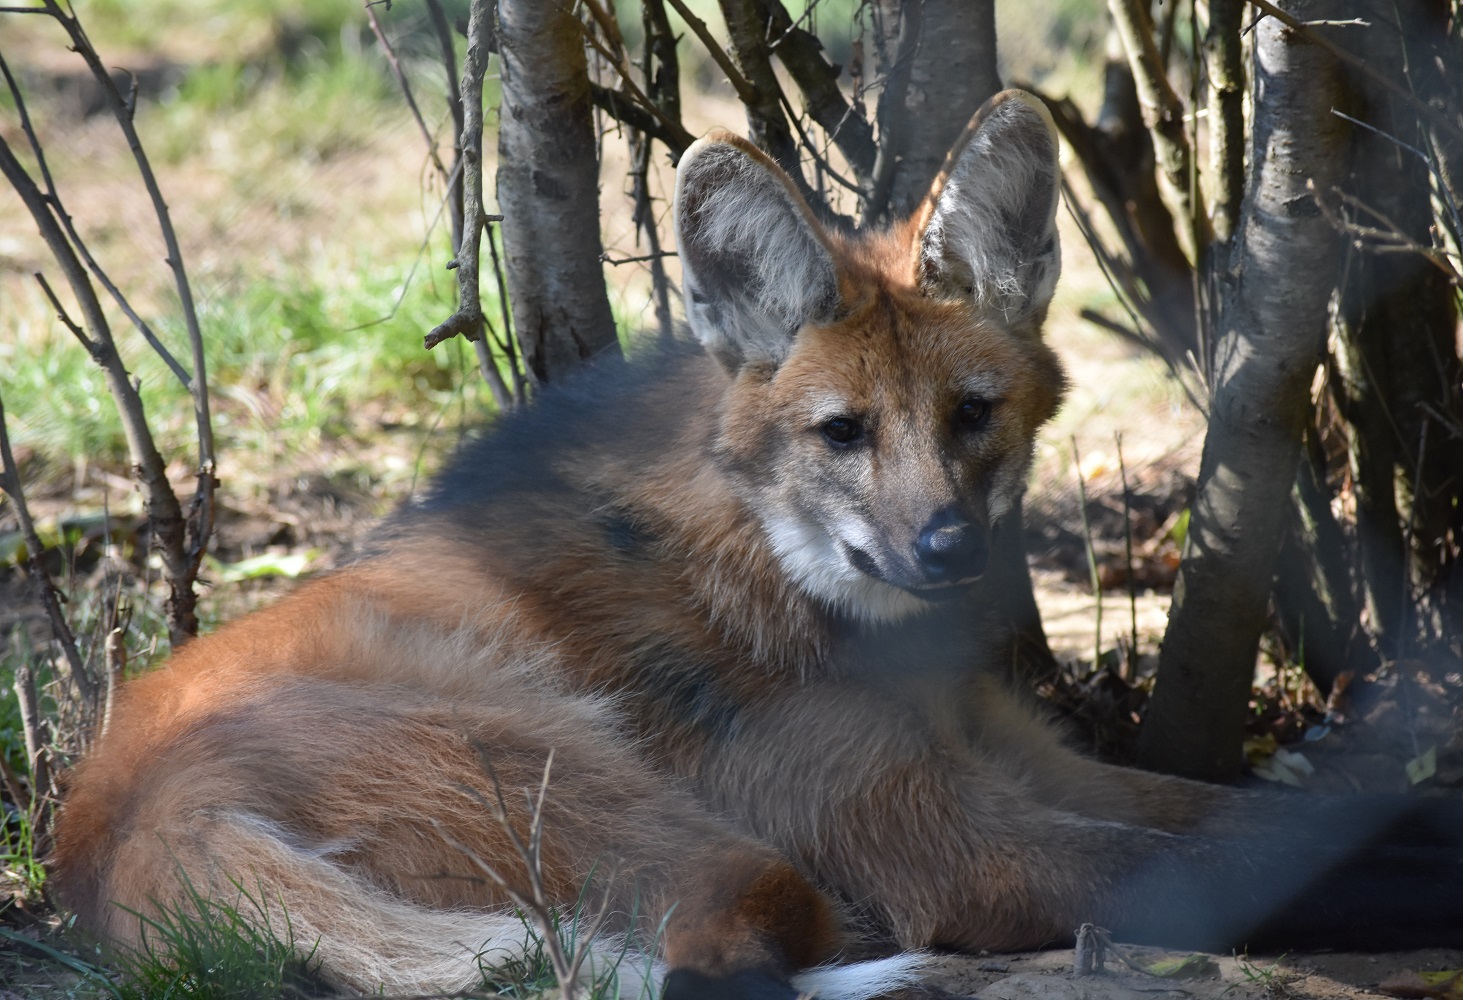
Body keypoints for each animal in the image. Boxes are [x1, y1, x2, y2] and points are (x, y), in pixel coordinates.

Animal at [53, 90, 1463, 1000]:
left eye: (971, 413)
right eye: (841, 432)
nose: (946, 547)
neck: (788, 584)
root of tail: (119, 834)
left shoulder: (1022, 763)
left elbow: (1291, 819)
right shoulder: (952, 844)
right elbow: (1259, 860)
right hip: (591, 778)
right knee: (716, 952)